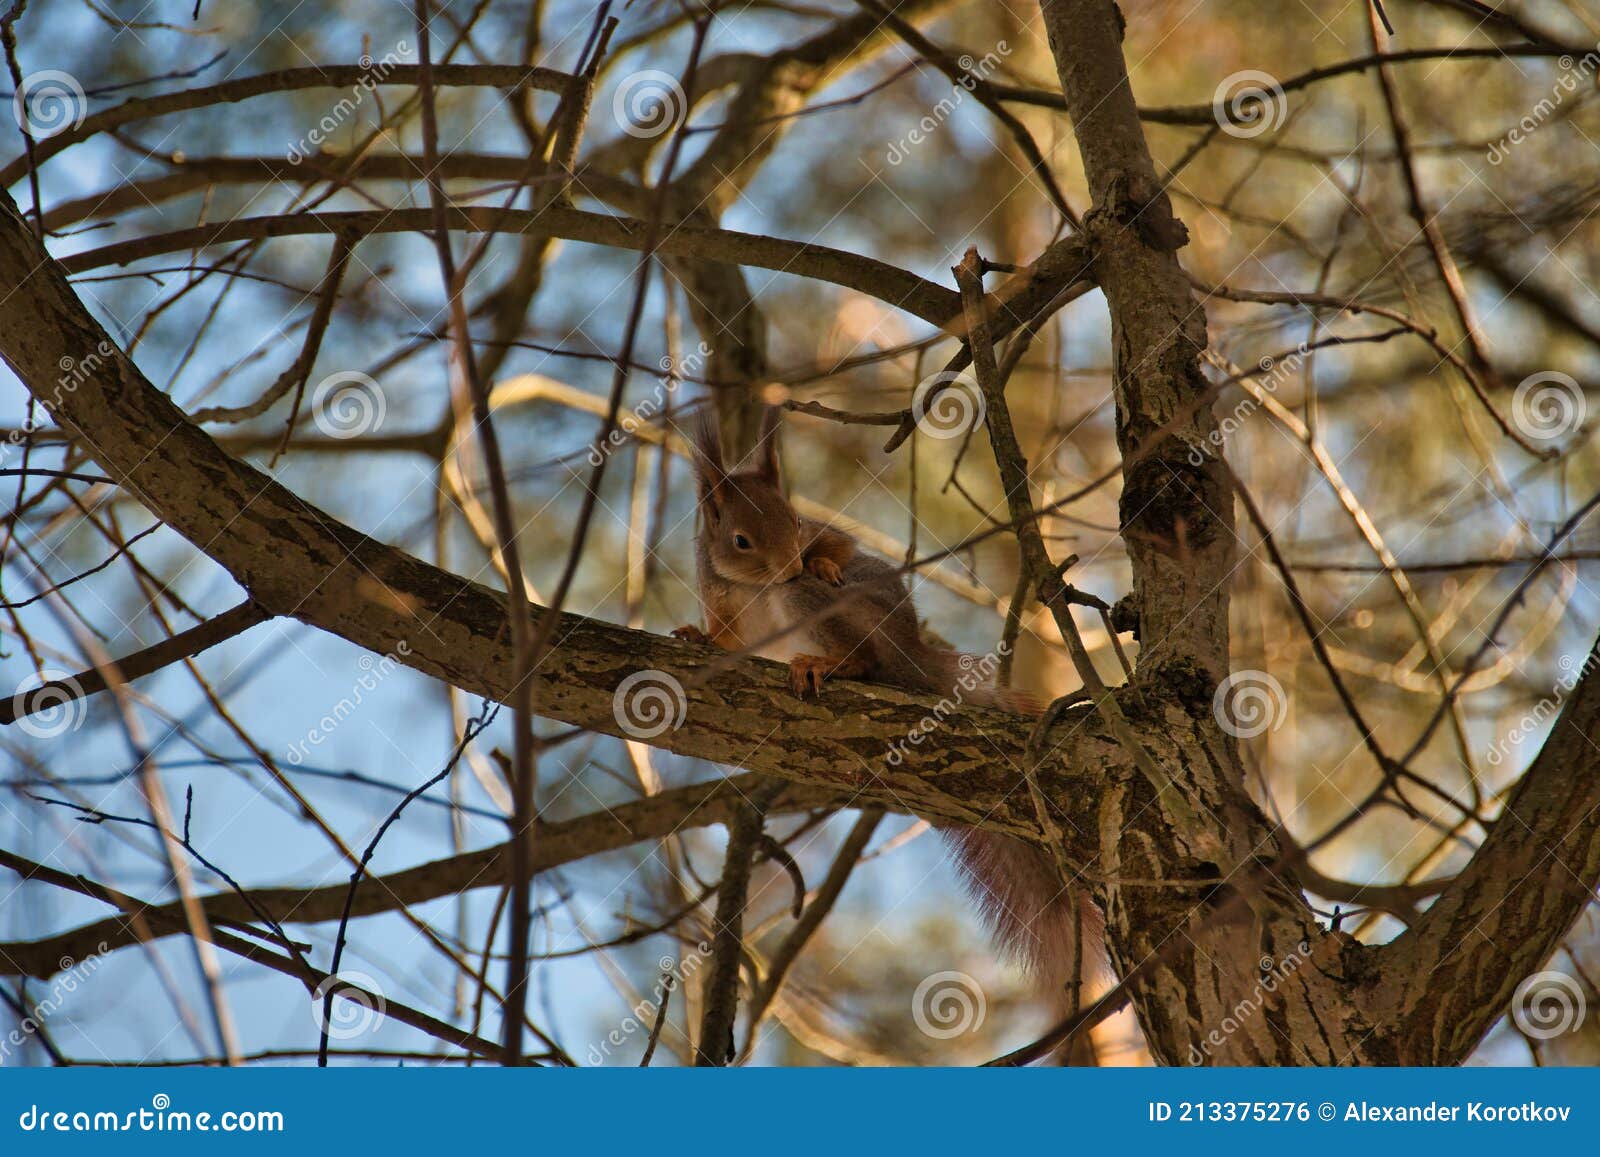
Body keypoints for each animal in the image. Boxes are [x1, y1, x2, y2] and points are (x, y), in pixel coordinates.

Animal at [673, 405, 1105, 1050]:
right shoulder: (722, 604)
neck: (752, 583)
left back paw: (830, 662)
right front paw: (694, 637)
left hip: (830, 614)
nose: (792, 564)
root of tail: (911, 655)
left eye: (794, 520)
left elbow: (839, 543)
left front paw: (827, 559)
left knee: (866, 659)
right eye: (740, 539)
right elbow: (723, 640)